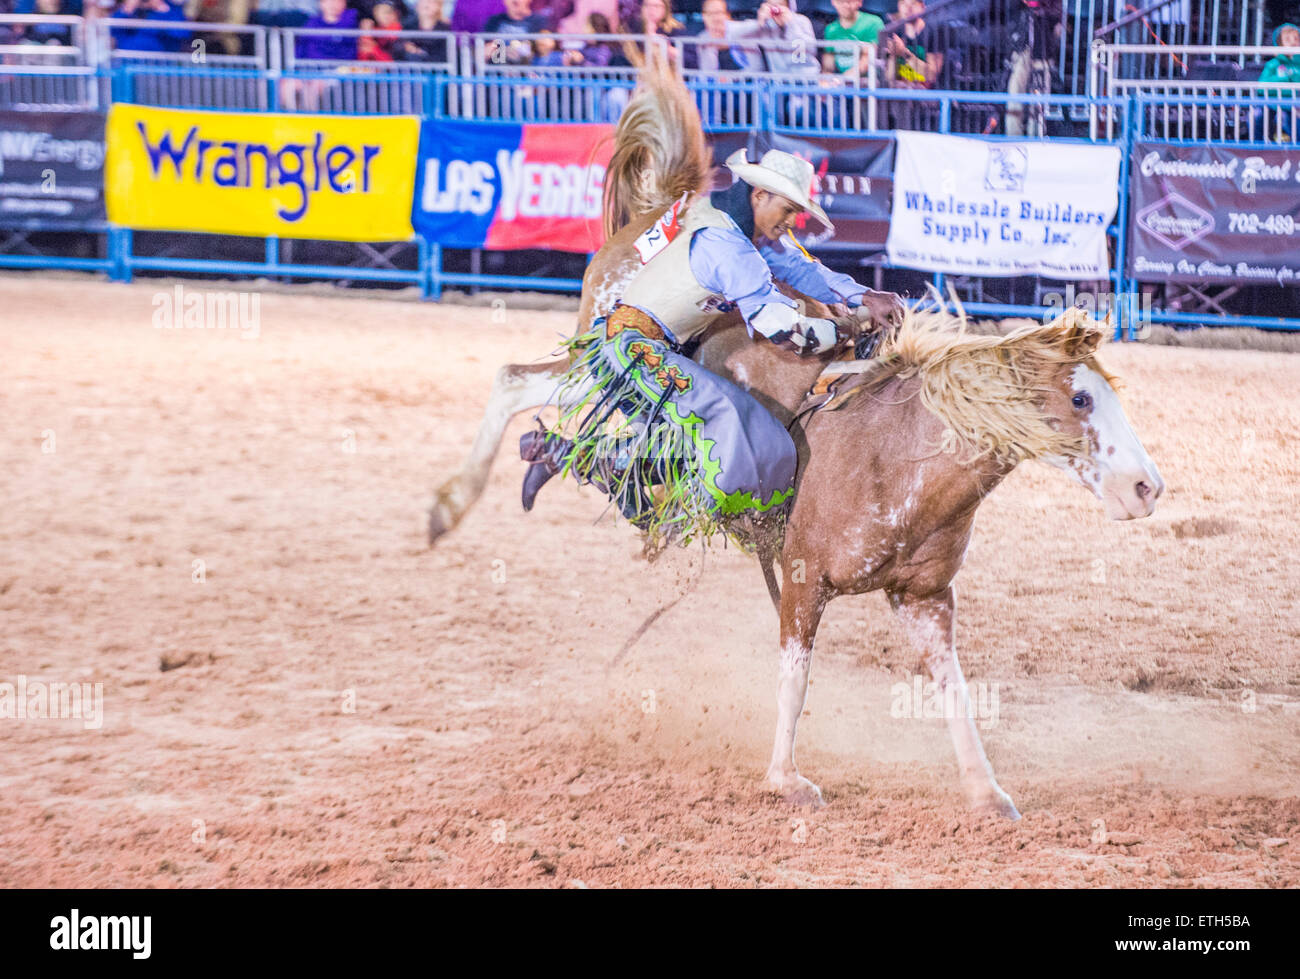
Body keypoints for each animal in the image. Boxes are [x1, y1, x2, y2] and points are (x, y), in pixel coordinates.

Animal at [426, 62, 1166, 819]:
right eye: (1079, 398)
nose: (1148, 486)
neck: (893, 457)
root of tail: (653, 217)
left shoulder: (926, 597)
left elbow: (954, 689)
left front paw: (986, 789)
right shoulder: (805, 580)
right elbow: (796, 676)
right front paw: (784, 776)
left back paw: (534, 466)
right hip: (613, 359)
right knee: (519, 384)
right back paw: (464, 500)